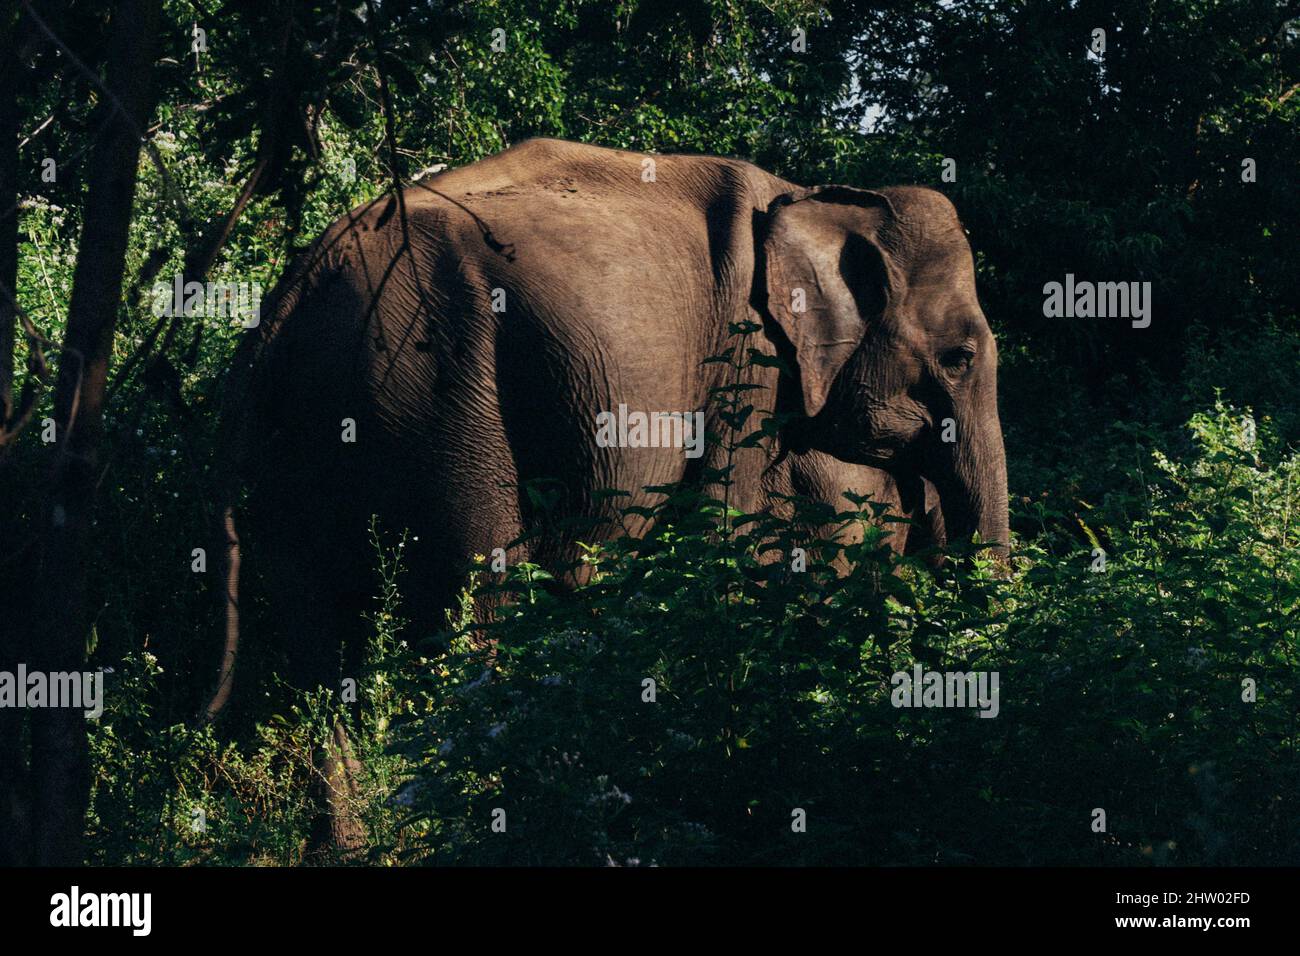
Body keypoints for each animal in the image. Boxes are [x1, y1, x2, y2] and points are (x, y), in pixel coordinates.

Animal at [200, 140, 1008, 830]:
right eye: (962, 356)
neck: (811, 195)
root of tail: (283, 309)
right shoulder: (742, 370)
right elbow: (719, 544)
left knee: (317, 643)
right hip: (437, 392)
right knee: (476, 601)